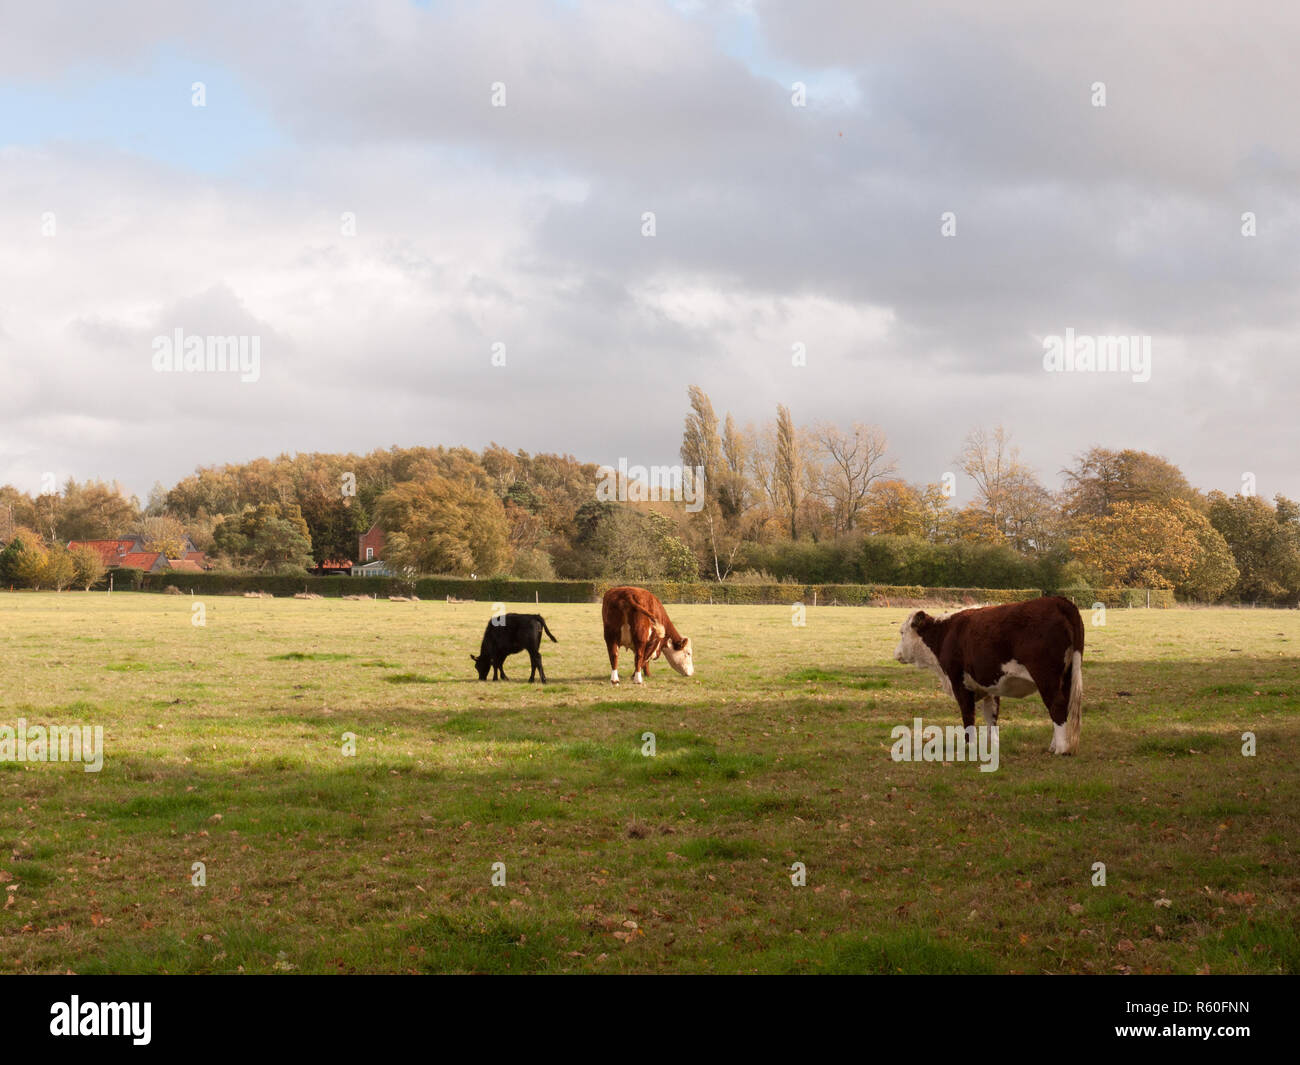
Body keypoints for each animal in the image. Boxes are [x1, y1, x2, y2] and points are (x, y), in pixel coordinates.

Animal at [893, 595, 1084, 755]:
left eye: (902, 632)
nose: (896, 653)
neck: (945, 634)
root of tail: (1057, 601)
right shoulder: (989, 687)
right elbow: (991, 717)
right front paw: (992, 746)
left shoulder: (959, 682)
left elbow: (968, 715)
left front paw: (968, 747)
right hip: (1067, 675)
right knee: (1064, 705)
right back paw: (1054, 746)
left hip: (1046, 677)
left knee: (1056, 705)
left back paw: (1061, 749)